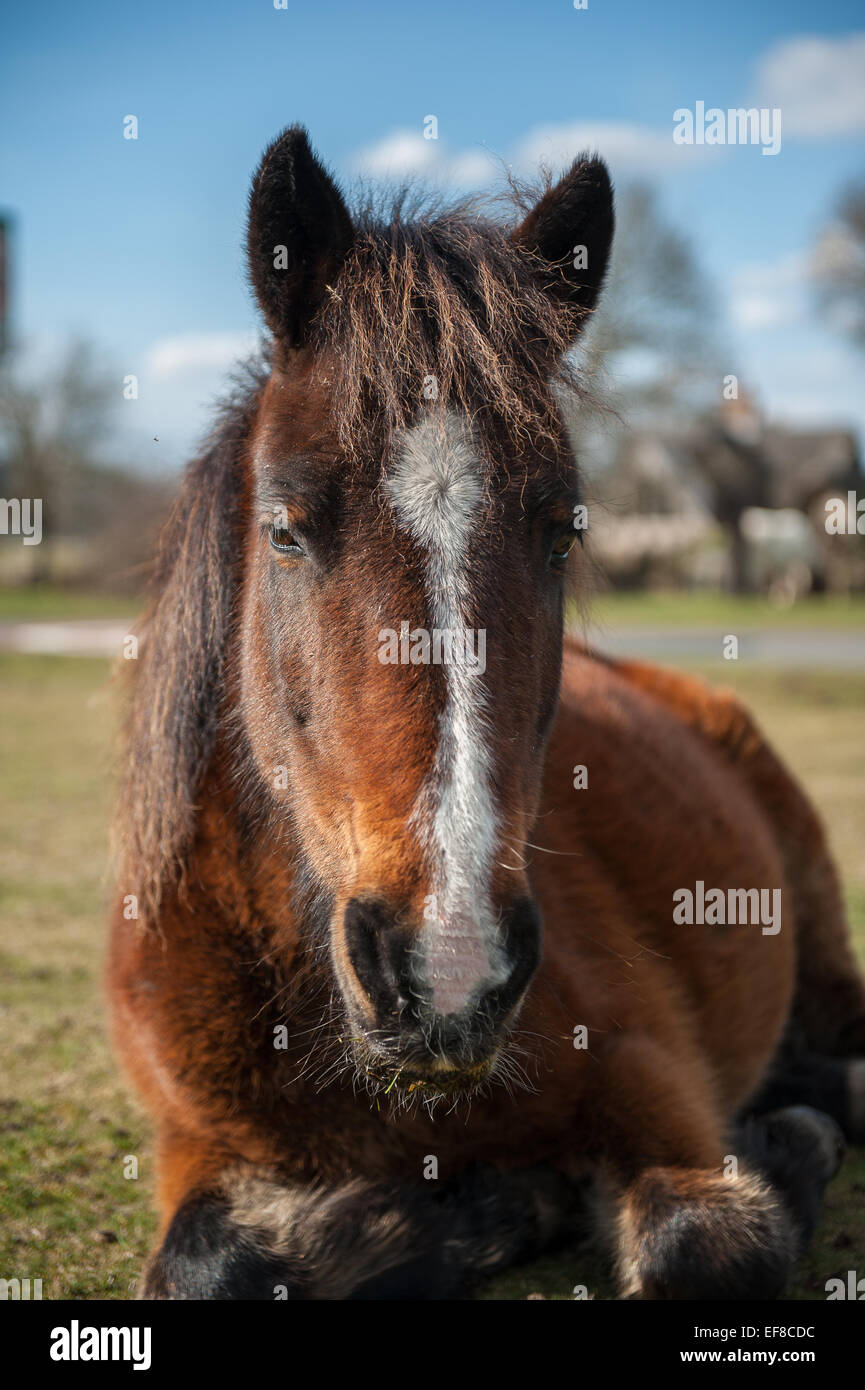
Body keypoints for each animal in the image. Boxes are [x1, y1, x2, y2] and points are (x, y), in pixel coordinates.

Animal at [108, 126, 865, 1300]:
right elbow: (208, 1263)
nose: (448, 967)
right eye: (284, 528)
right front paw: (485, 1207)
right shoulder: (196, 1142)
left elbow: (707, 1245)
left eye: (563, 532)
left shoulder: (652, 1080)